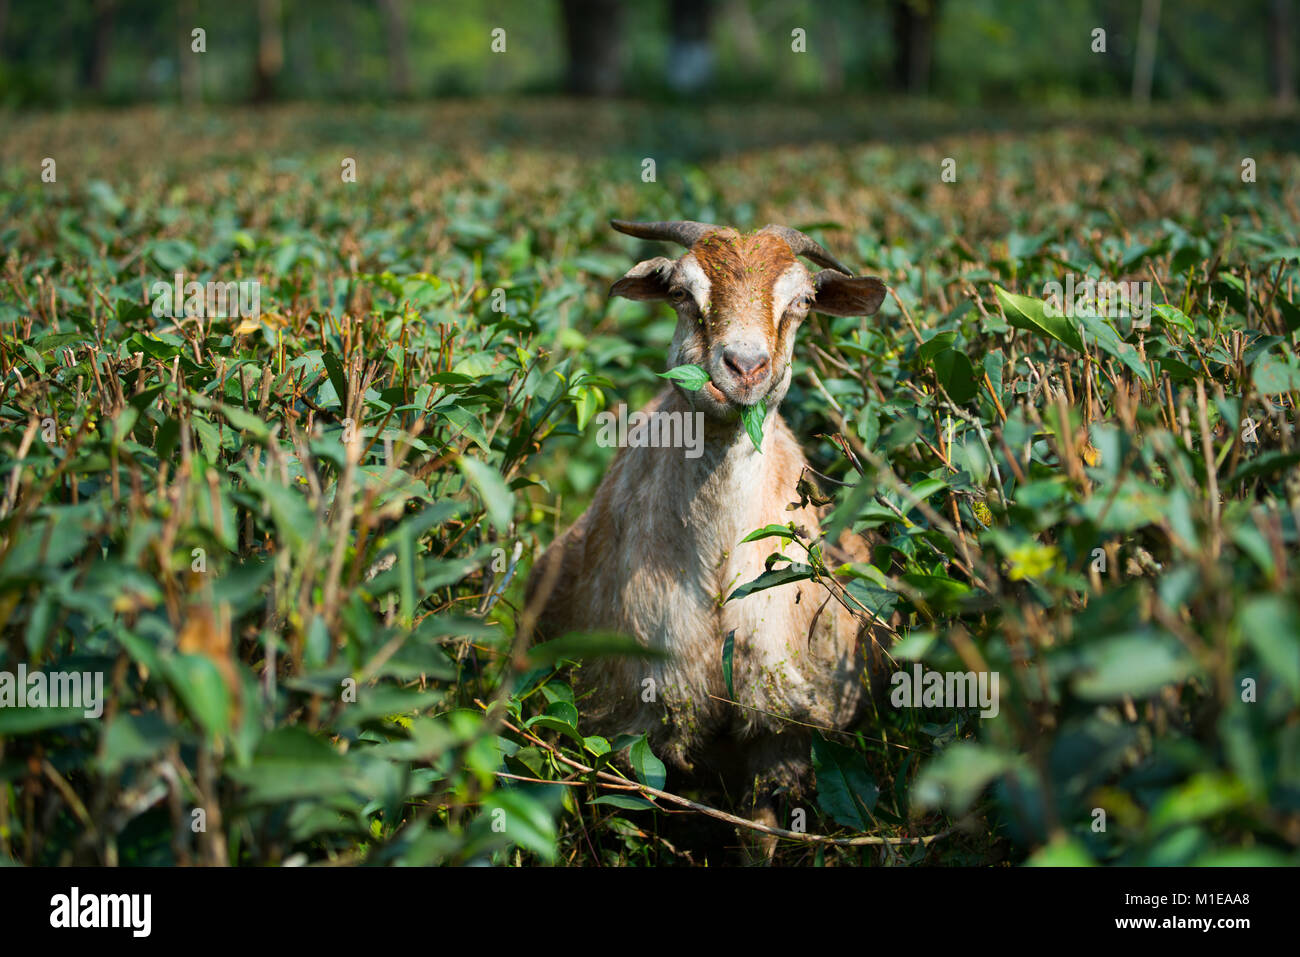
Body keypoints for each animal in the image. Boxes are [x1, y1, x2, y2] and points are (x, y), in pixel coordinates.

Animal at [527, 219, 889, 846]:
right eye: (680, 291)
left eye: (803, 301)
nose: (744, 367)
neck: (719, 569)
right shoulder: (644, 727)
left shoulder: (781, 724)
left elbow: (760, 831)